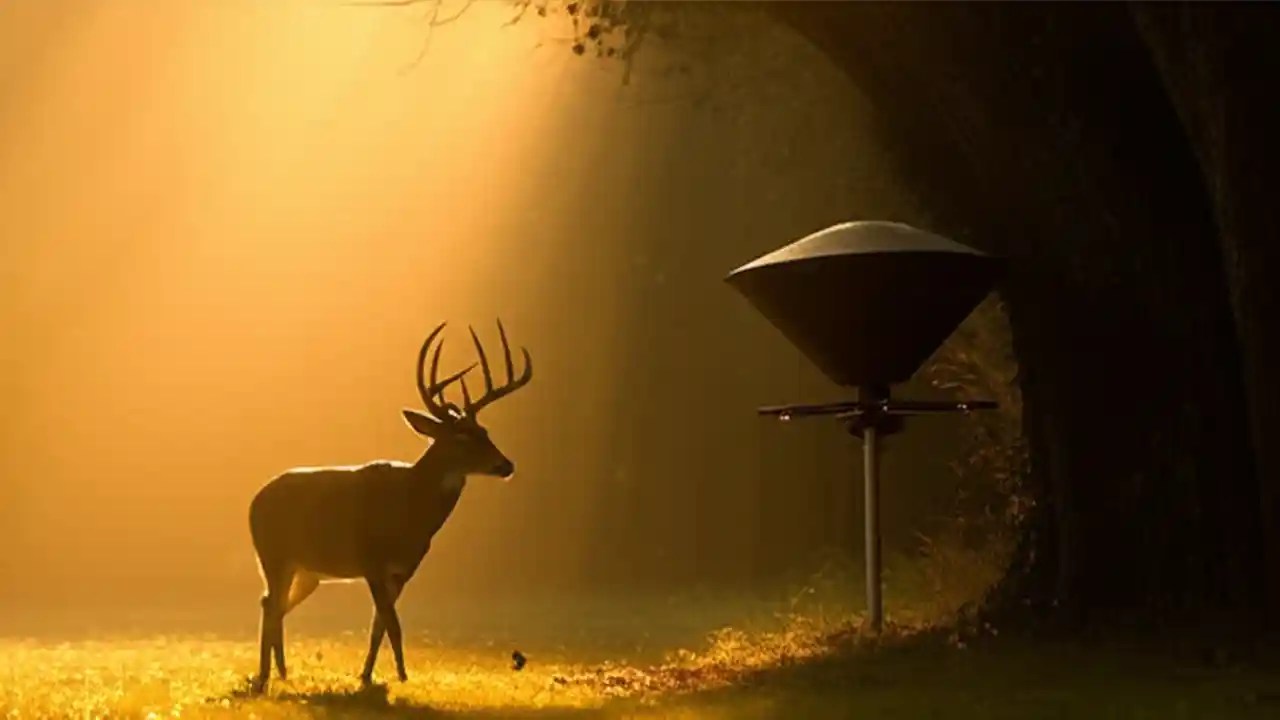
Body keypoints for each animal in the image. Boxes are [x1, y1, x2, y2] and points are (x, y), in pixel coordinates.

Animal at [247, 320, 532, 693]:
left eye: (485, 430)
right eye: (462, 437)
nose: (506, 465)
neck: (409, 511)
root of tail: (255, 500)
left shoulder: (405, 569)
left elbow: (380, 625)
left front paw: (373, 675)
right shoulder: (370, 559)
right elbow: (390, 622)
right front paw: (398, 676)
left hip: (307, 571)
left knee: (275, 604)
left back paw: (281, 672)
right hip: (273, 554)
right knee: (269, 602)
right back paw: (265, 676)